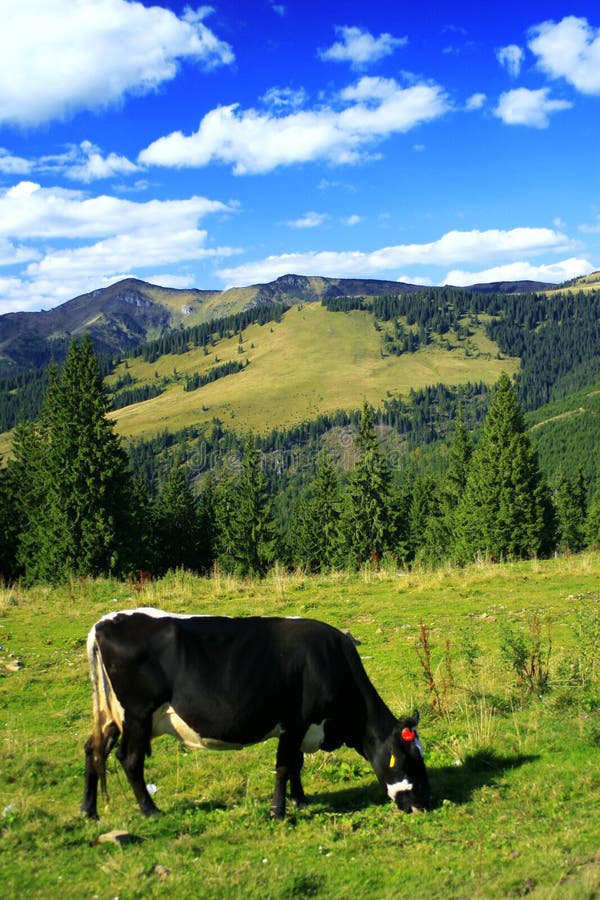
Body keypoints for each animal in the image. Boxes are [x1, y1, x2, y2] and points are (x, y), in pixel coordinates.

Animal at [81, 608, 431, 820]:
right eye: (407, 757)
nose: (424, 803)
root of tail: (104, 623)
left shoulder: (300, 728)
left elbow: (296, 765)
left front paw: (300, 800)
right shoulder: (296, 721)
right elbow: (284, 765)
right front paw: (278, 811)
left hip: (111, 716)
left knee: (93, 750)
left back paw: (89, 810)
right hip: (137, 715)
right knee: (129, 760)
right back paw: (150, 810)